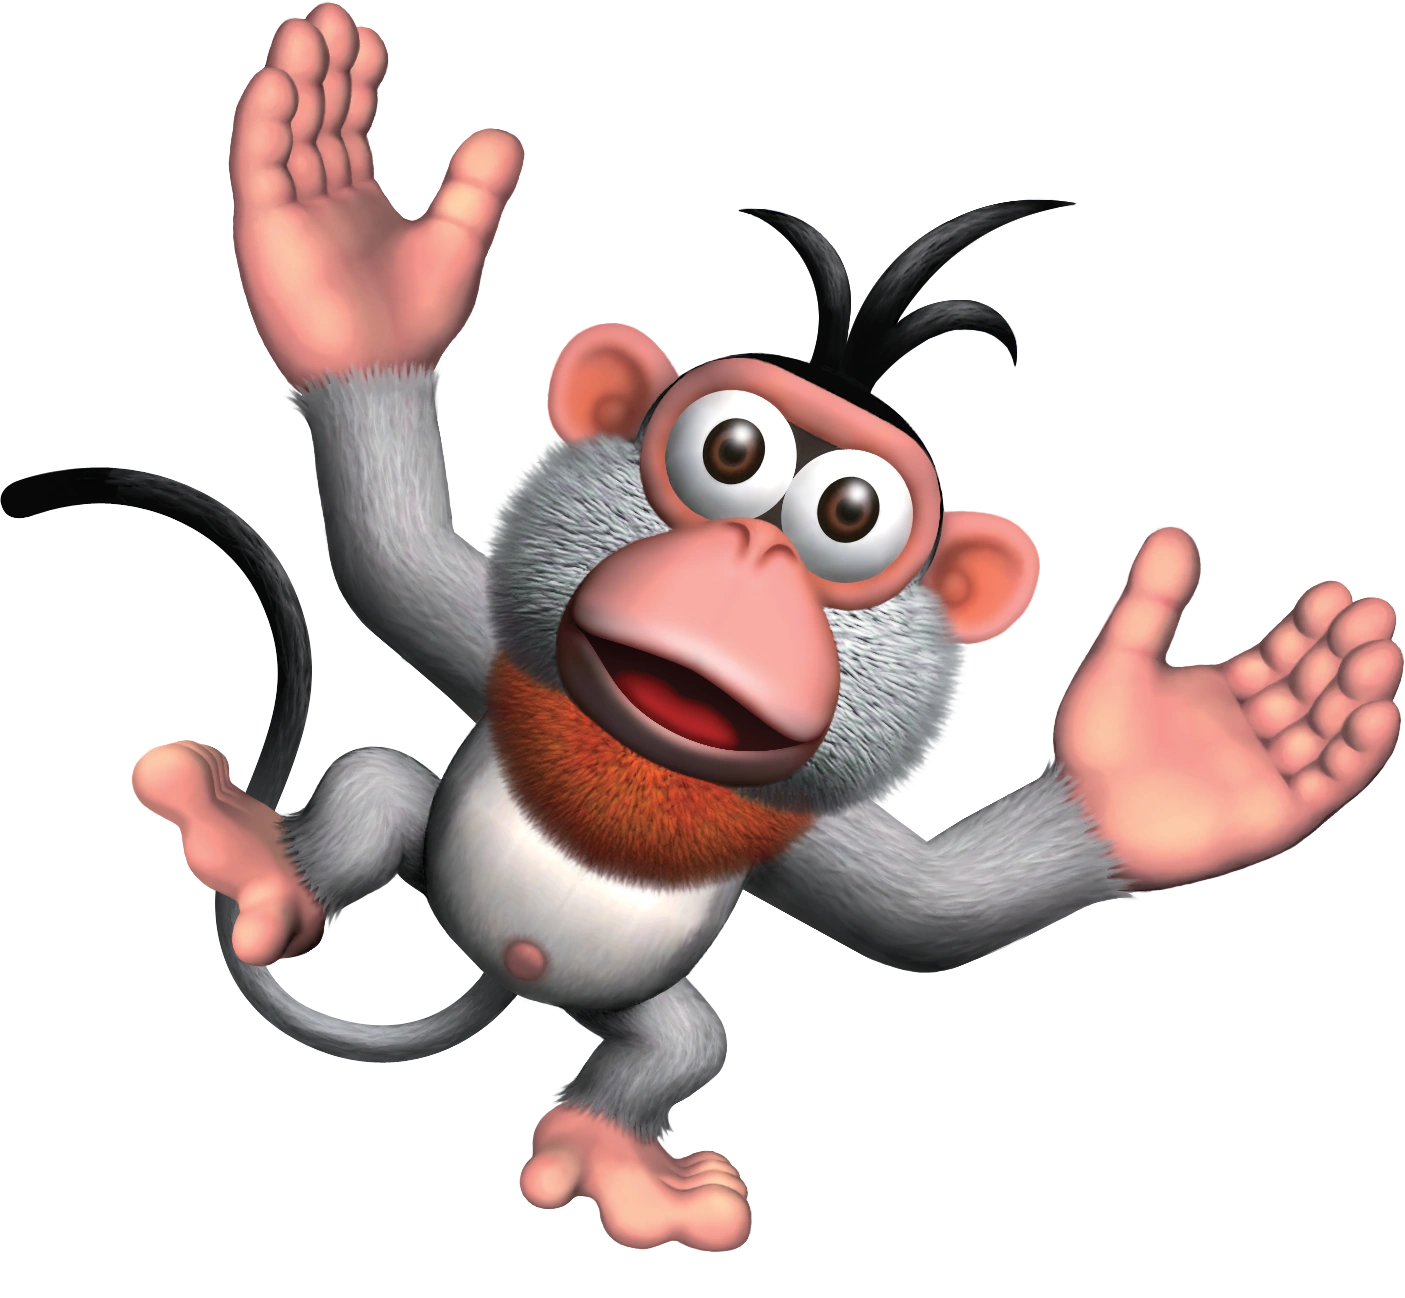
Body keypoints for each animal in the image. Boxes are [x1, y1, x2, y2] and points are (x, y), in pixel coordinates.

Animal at [1, 1, 1399, 1257]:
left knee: (681, 1037)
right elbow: (393, 565)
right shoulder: (489, 656)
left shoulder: (799, 838)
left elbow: (927, 918)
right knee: (380, 787)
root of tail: (508, 966)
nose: (748, 557)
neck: (641, 758)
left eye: (851, 514)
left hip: (646, 1003)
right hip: (412, 826)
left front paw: (1188, 756)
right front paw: (340, 260)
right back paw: (255, 856)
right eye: (727, 450)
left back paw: (616, 1160)